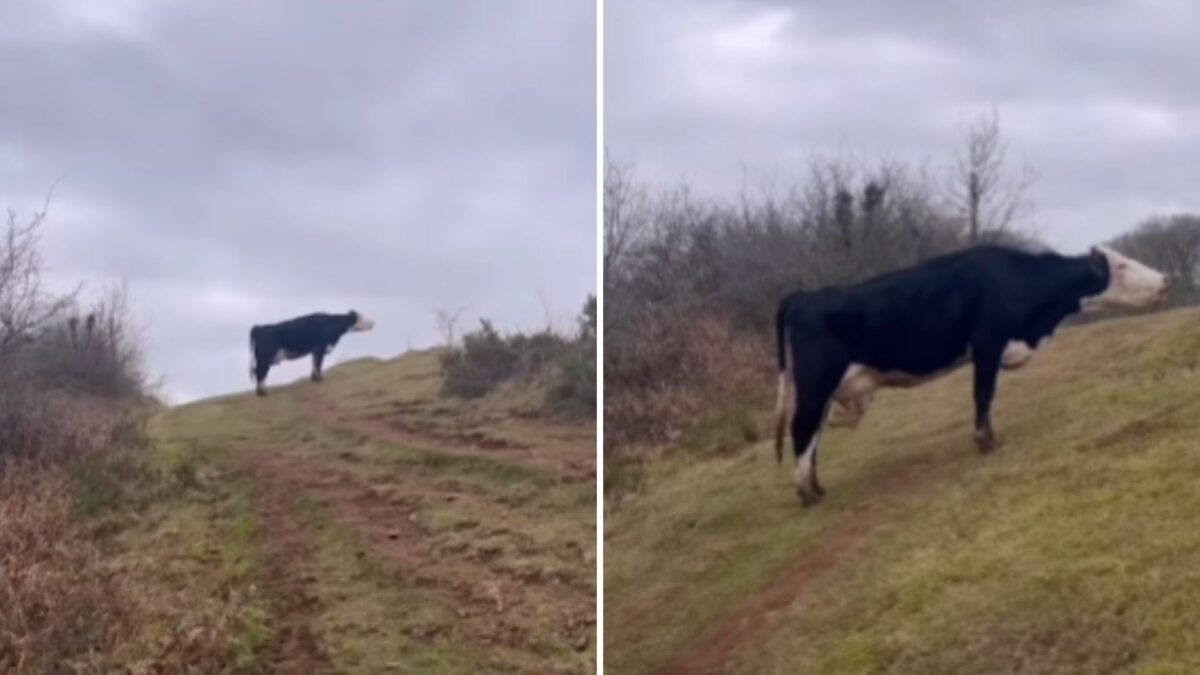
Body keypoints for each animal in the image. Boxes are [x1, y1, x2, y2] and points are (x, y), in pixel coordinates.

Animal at [773, 244, 1169, 506]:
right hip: (816, 382)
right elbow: (983, 394)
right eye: (1123, 266)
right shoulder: (987, 346)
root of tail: (804, 297)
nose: (1165, 280)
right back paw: (806, 493)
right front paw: (986, 442)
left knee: (813, 434)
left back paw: (816, 486)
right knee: (802, 429)